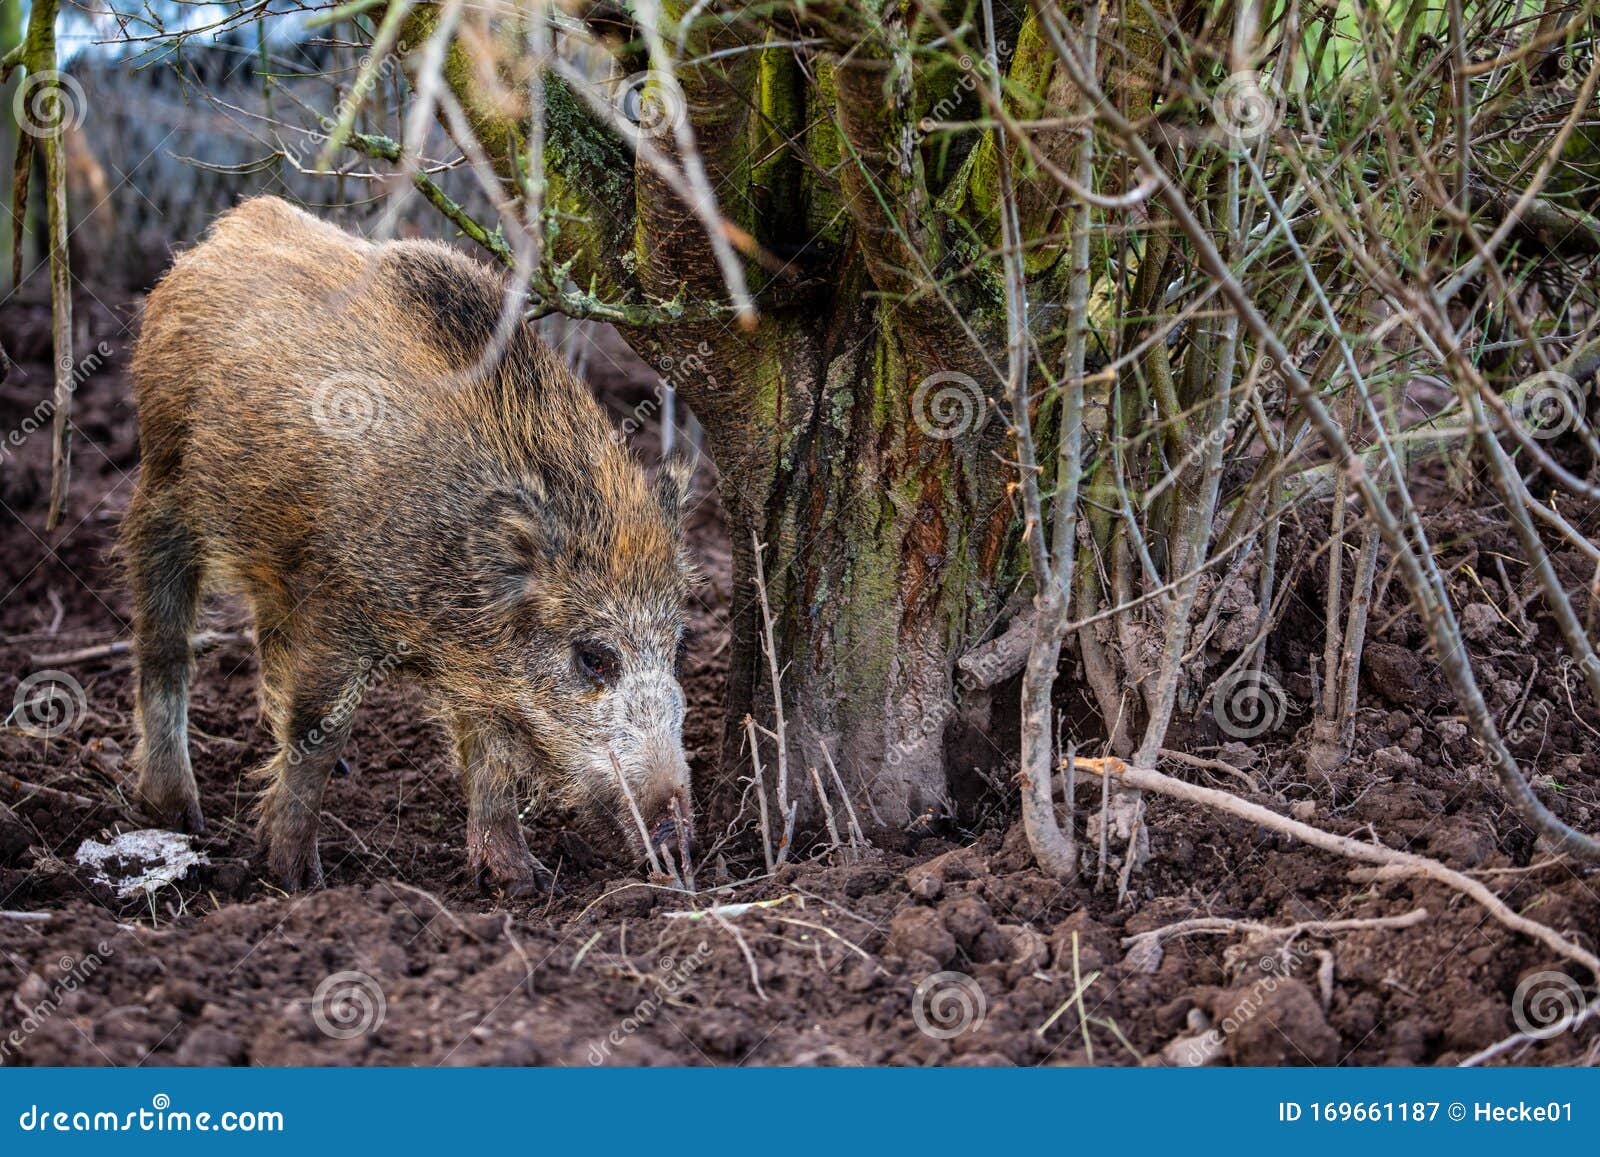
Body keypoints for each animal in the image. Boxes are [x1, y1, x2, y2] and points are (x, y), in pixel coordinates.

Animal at [121, 195, 694, 895]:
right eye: (594, 658)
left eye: (678, 648)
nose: (676, 835)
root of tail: (229, 229)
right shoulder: (342, 607)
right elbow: (320, 730)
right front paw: (296, 877)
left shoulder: (487, 668)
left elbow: (492, 756)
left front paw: (520, 882)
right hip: (164, 480)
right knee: (163, 638)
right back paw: (176, 811)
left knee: (266, 632)